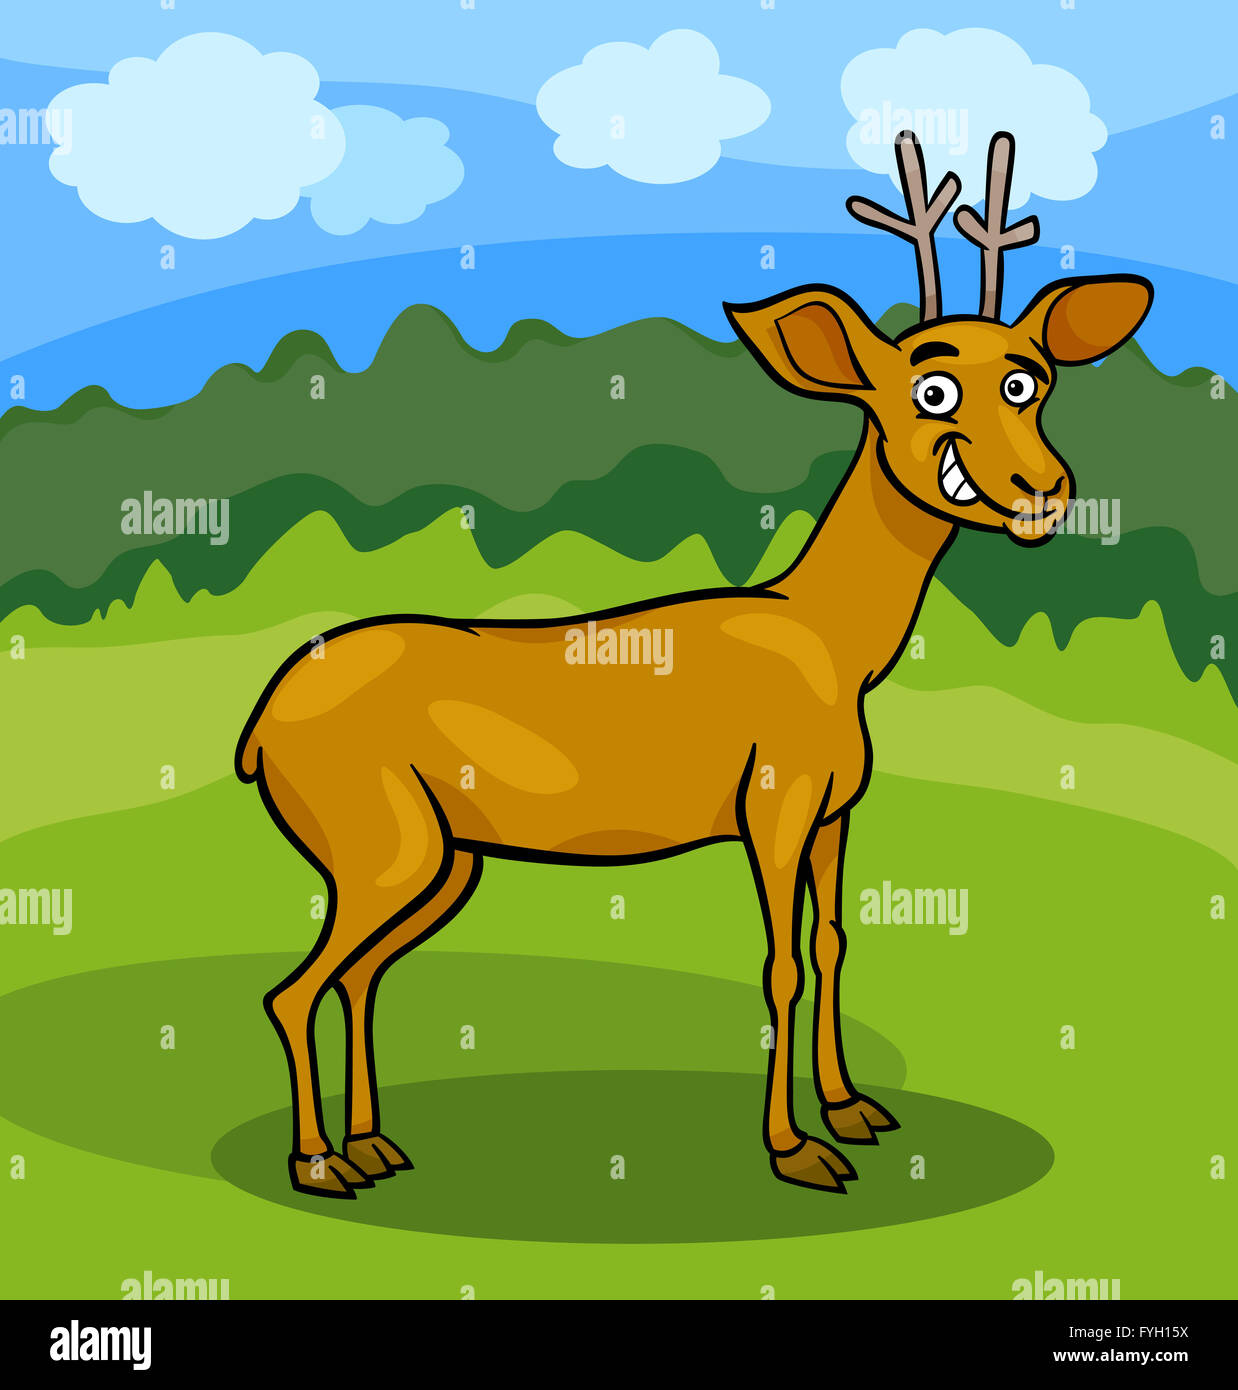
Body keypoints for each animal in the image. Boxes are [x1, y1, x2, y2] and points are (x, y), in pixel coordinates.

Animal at [236, 131, 1151, 1198]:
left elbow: (833, 943)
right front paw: (798, 1150)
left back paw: (375, 1146)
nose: (1045, 489)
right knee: (295, 987)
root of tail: (256, 730)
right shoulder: (773, 804)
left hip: (444, 860)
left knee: (359, 974)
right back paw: (317, 1163)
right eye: (931, 388)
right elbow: (779, 965)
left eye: (1030, 379)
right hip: (381, 846)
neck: (832, 641)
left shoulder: (836, 810)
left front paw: (855, 1109)